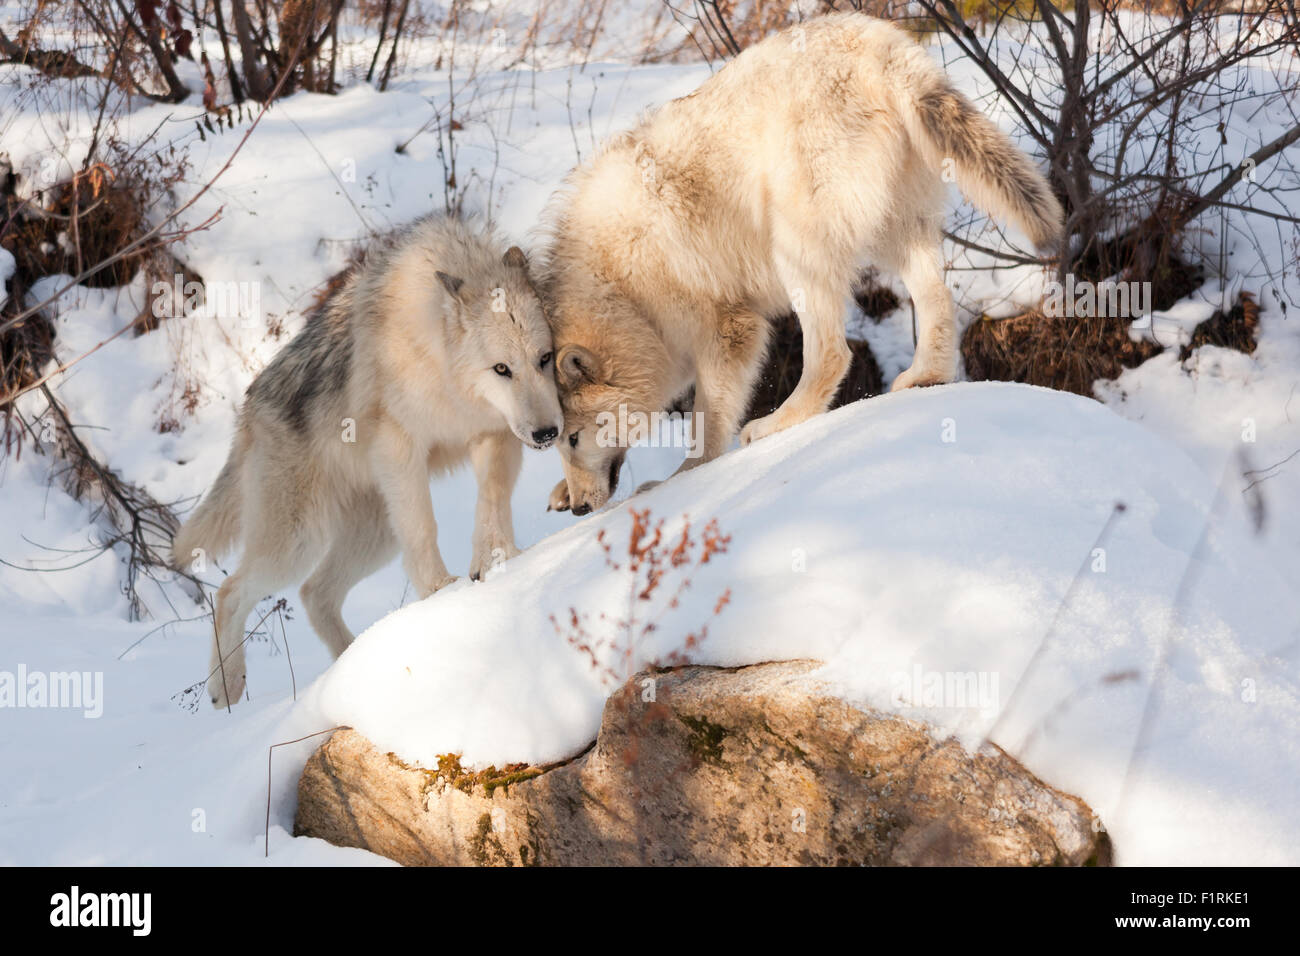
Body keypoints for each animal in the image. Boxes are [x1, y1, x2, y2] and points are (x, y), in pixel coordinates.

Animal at [172, 215, 562, 708]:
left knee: (314, 593)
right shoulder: (401, 445)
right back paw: (227, 686)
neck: (437, 357)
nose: (547, 434)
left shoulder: (494, 434)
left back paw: (350, 667)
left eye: (544, 359)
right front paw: (441, 592)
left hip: (374, 537)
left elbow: (492, 500)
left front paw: (498, 562)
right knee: (229, 591)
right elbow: (425, 529)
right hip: (301, 541)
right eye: (502, 369)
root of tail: (247, 413)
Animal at [541, 13, 1063, 514]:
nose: (581, 509)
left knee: (832, 353)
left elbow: (706, 422)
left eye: (575, 437)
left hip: (797, 246)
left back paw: (773, 425)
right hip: (899, 231)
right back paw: (923, 378)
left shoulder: (728, 327)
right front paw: (561, 492)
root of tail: (882, 48)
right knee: (936, 298)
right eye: (558, 443)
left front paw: (681, 480)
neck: (621, 292)